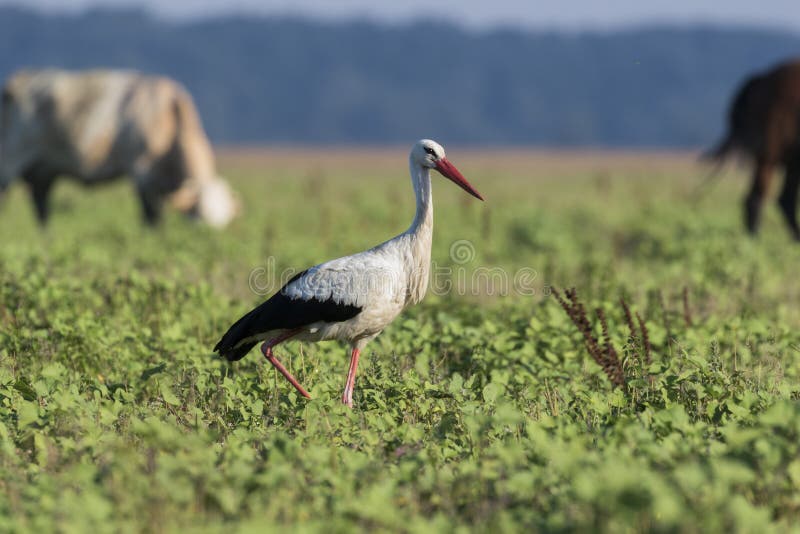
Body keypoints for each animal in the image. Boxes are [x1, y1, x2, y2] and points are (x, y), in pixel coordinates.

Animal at [0, 69, 239, 227]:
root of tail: (18, 81)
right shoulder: (142, 171)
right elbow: (151, 217)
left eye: (224, 223)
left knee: (41, 207)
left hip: (43, 170)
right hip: (9, 161)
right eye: (199, 216)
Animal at [705, 59, 800, 240]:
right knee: (758, 196)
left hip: (788, 159)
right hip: (770, 153)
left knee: (783, 199)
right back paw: (755, 239)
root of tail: (761, 78)